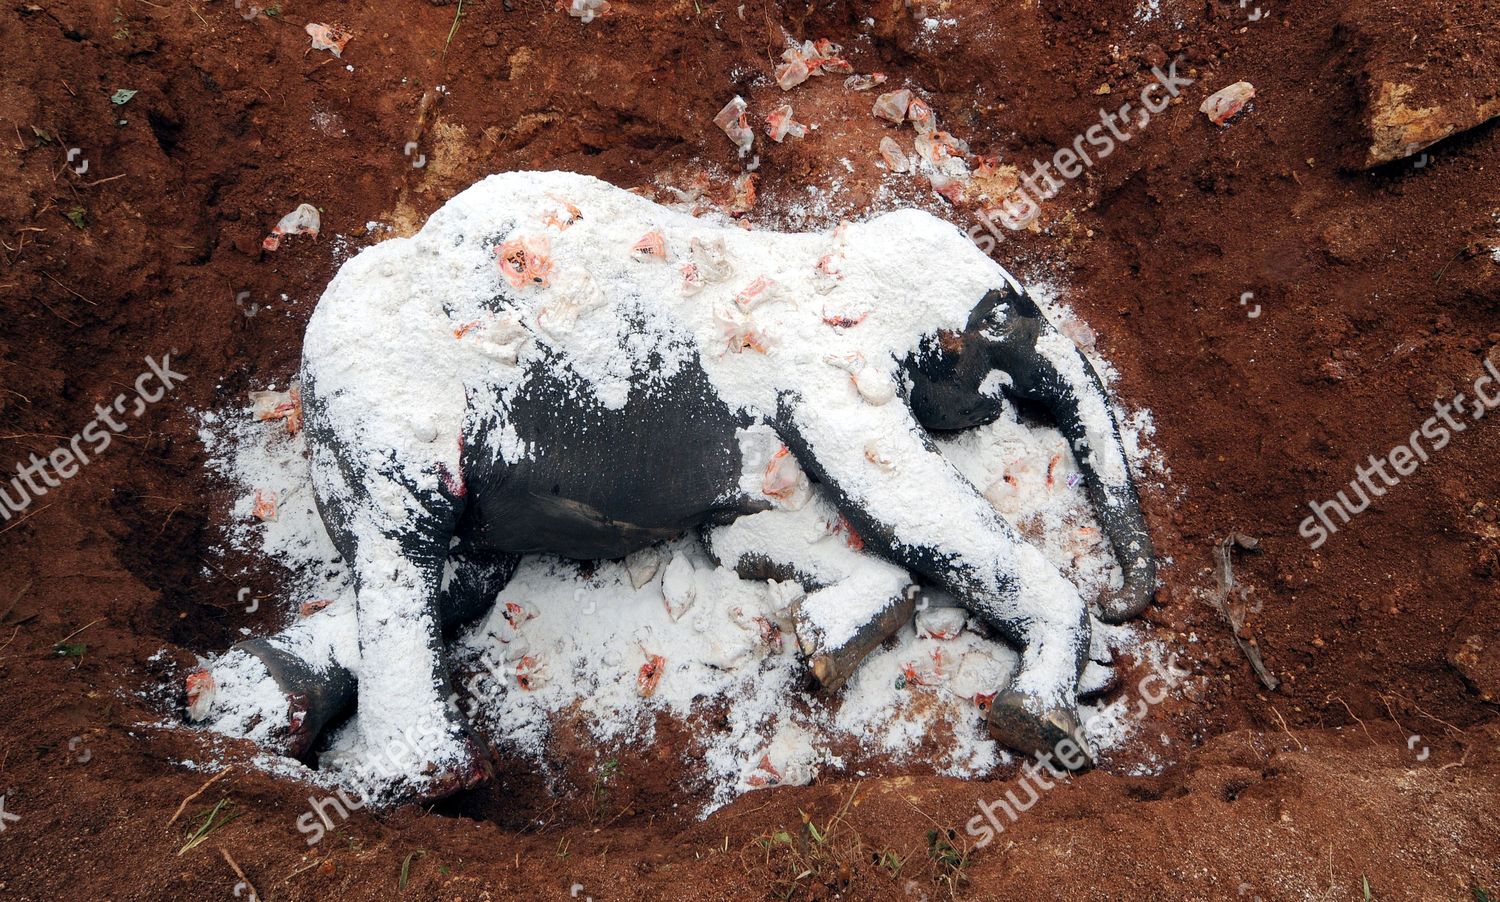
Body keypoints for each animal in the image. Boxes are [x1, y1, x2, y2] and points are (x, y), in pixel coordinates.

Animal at [186, 171, 1155, 803]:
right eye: (1004, 322)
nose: (1122, 601)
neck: (817, 255)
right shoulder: (828, 372)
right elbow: (903, 499)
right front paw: (1039, 723)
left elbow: (746, 527)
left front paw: (837, 640)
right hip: (391, 406)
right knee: (406, 552)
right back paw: (408, 781)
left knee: (452, 572)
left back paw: (252, 702)